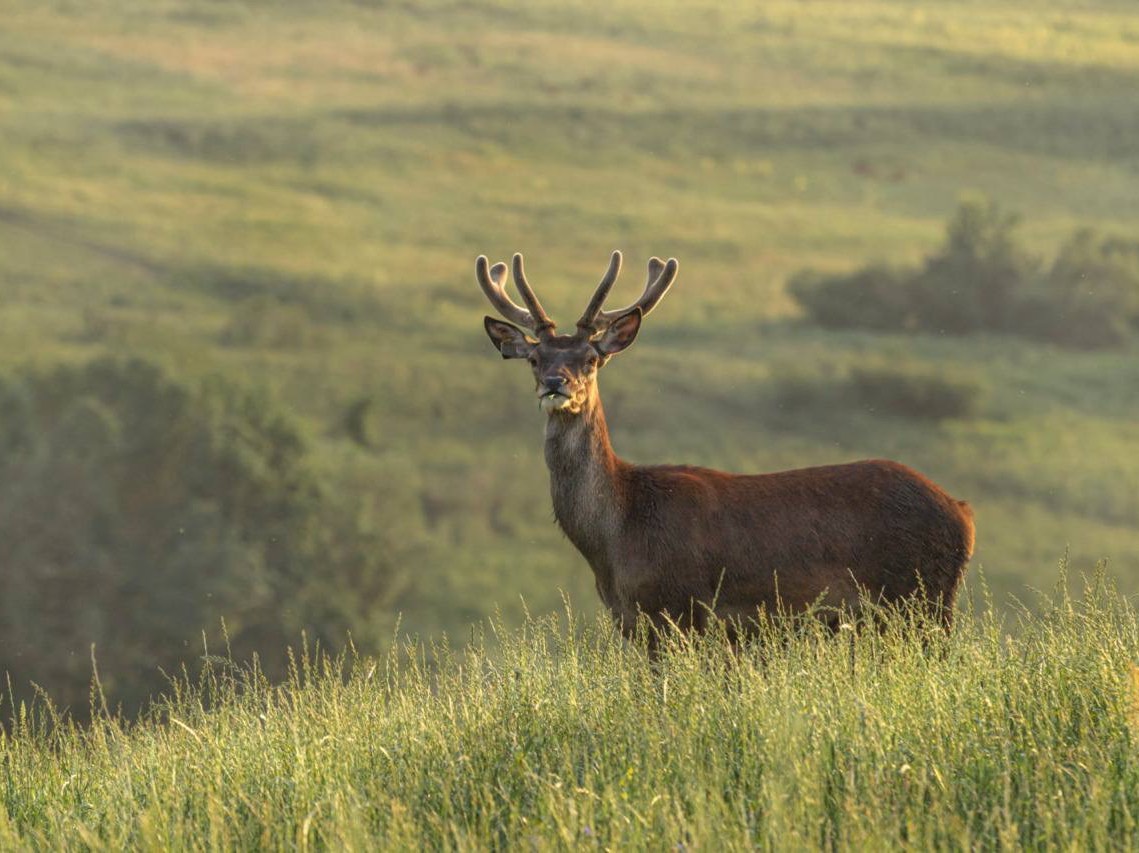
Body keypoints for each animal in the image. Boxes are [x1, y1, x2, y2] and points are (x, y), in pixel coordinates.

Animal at [476, 249, 974, 642]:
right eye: (535, 359)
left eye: (591, 359)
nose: (555, 383)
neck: (615, 535)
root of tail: (964, 515)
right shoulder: (631, 622)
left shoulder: (682, 609)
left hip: (920, 599)